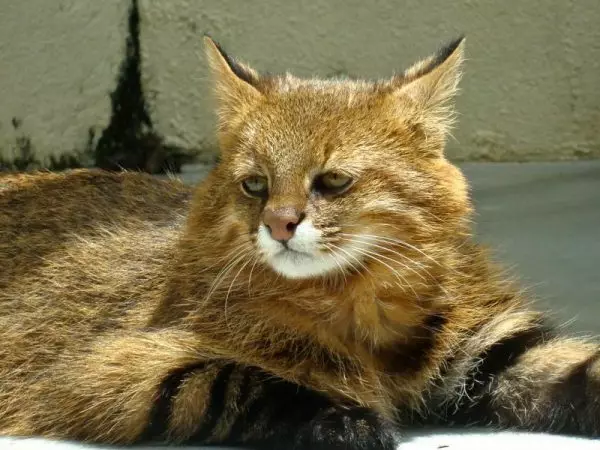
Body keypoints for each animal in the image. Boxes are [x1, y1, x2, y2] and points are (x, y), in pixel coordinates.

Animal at [1, 36, 600, 450]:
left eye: (333, 181)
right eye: (255, 185)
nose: (279, 224)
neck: (357, 307)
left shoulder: (493, 347)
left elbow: (578, 366)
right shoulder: (105, 374)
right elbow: (242, 381)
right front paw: (350, 420)